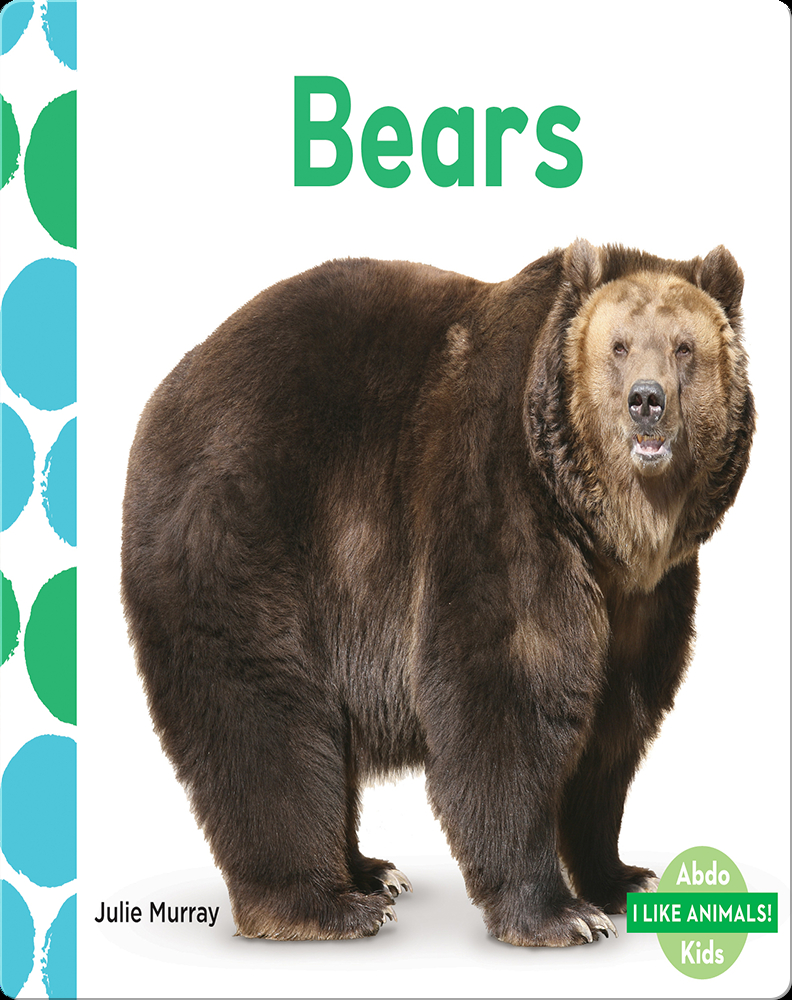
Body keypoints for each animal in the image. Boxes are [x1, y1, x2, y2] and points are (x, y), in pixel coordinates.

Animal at [121, 240, 754, 947]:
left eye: (684, 347)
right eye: (618, 346)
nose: (647, 400)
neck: (604, 526)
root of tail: (166, 392)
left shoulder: (649, 596)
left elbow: (615, 726)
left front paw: (622, 878)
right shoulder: (498, 501)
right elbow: (506, 697)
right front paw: (558, 913)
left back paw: (369, 870)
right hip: (244, 539)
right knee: (262, 716)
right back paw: (327, 904)